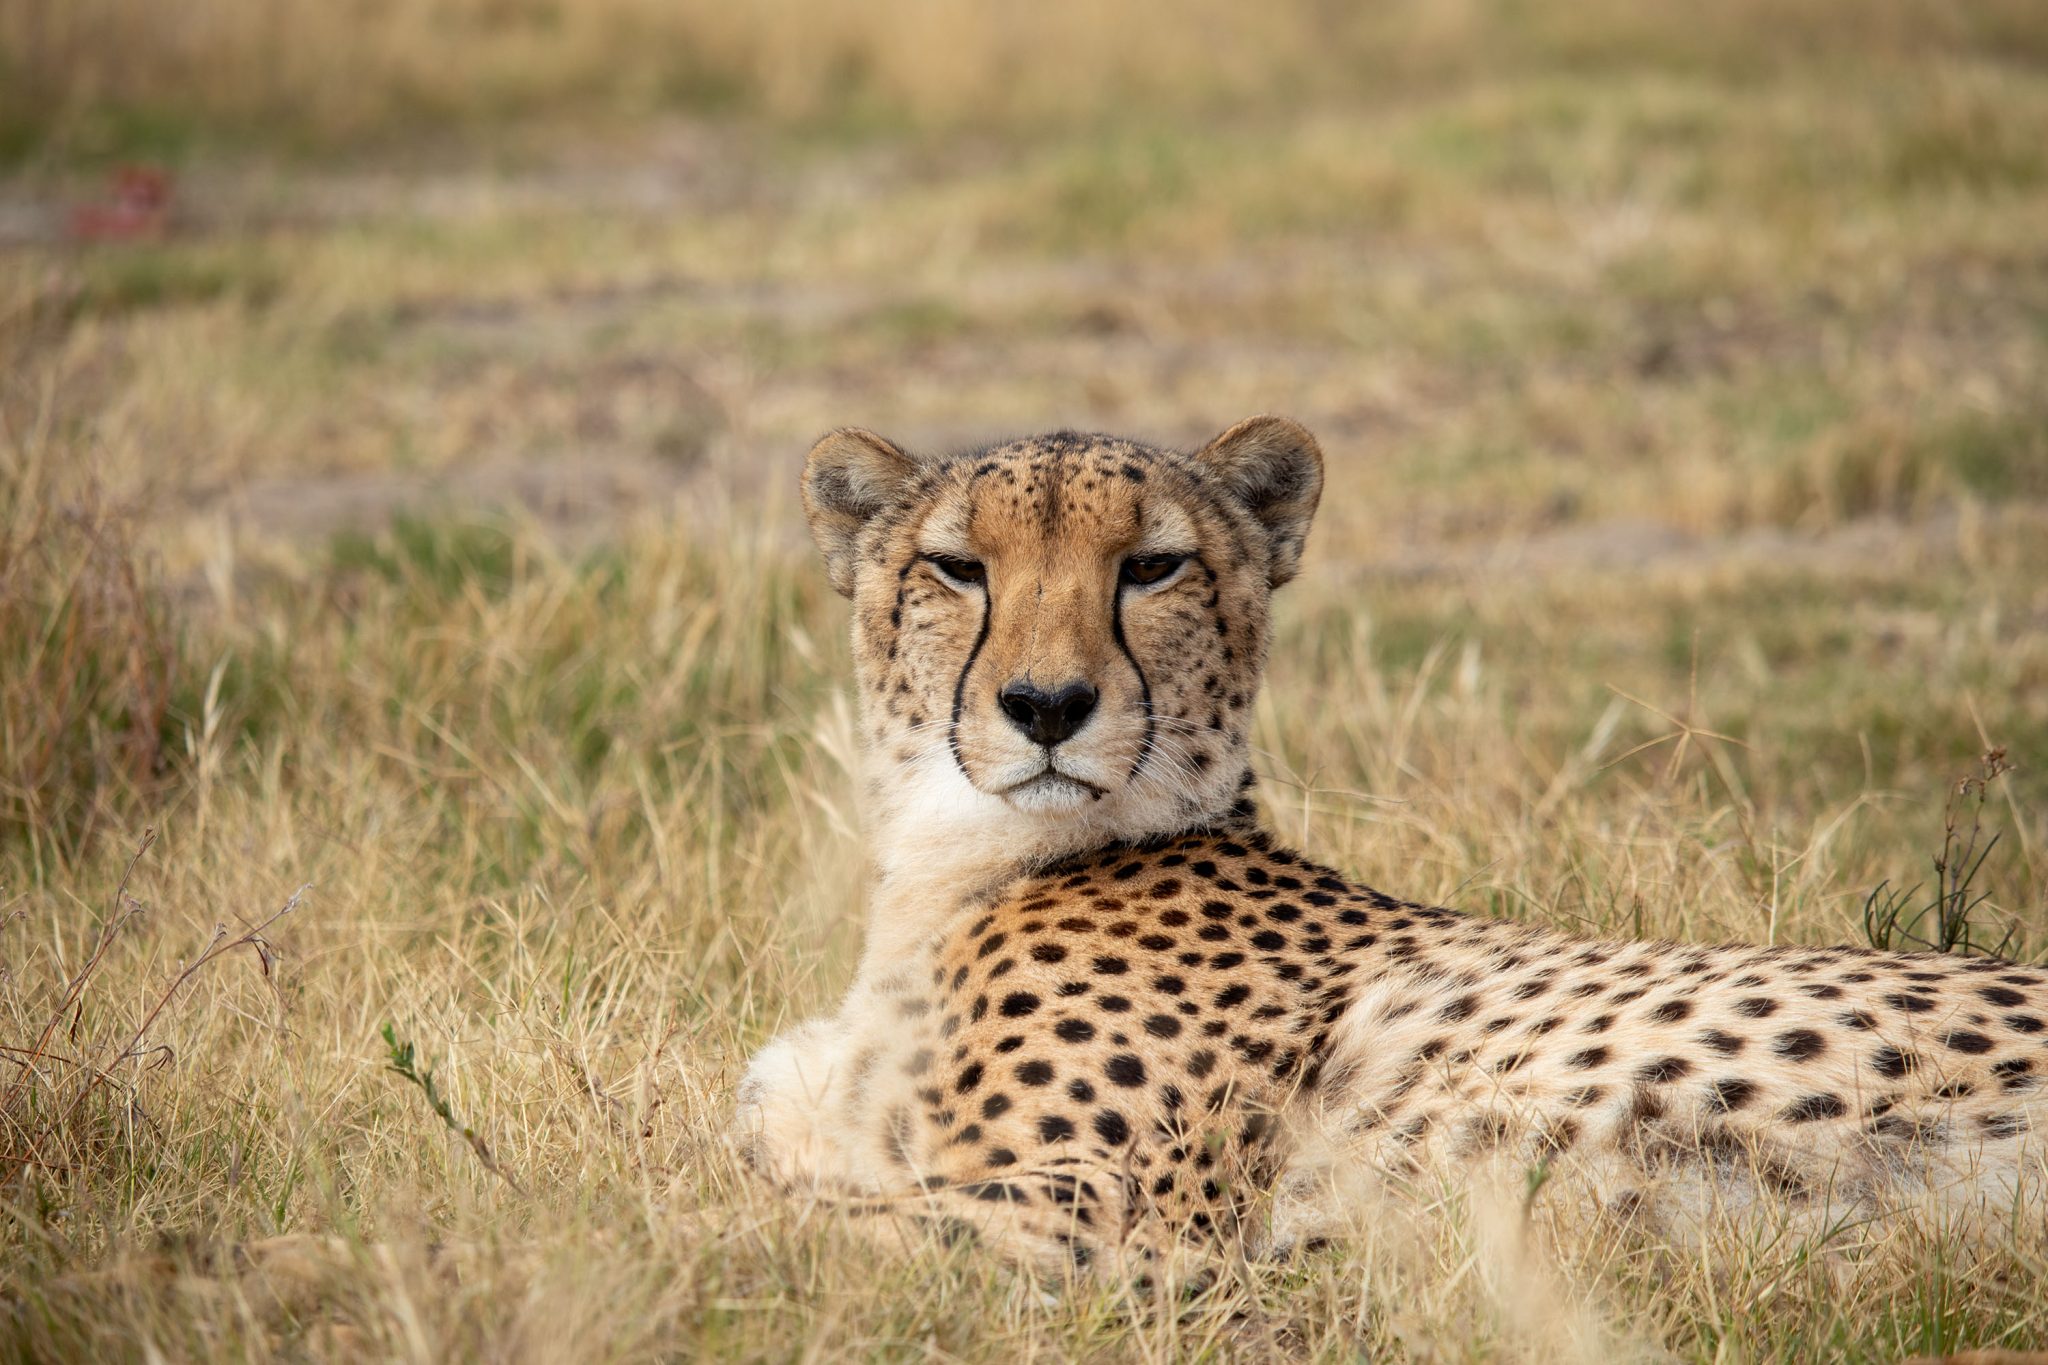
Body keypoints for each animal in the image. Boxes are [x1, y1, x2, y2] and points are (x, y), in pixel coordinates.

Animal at [734, 415, 2047, 1278]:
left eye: (1151, 566)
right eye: (957, 569)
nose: (1046, 707)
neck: (954, 864)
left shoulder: (1111, 1220)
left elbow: (768, 1231)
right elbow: (769, 1170)